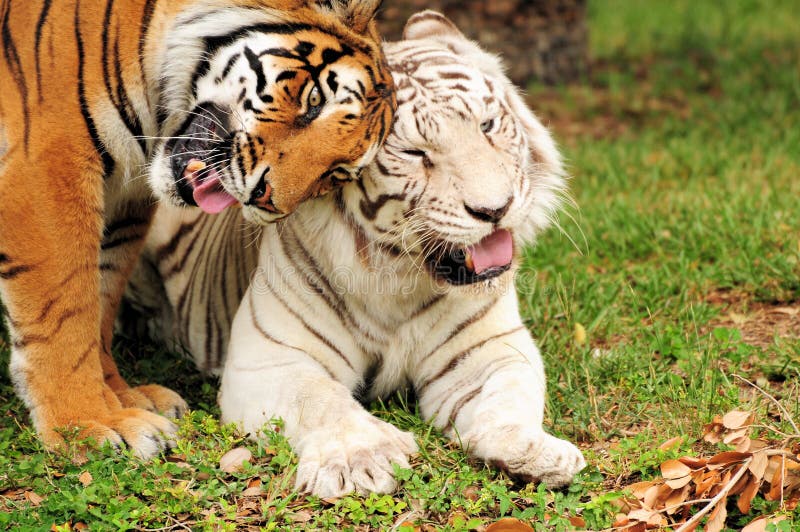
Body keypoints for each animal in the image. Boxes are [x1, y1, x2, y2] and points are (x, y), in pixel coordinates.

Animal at [0, 0, 394, 459]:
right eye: (314, 101)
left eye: (336, 173)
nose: (267, 199)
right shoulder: (48, 166)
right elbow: (65, 312)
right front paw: (88, 421)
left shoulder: (123, 208)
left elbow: (98, 302)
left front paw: (124, 401)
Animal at [128, 10, 586, 495]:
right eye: (414, 153)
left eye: (487, 126)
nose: (494, 210)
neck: (396, 278)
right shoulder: (269, 358)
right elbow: (319, 399)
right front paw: (364, 457)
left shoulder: (489, 348)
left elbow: (508, 397)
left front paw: (535, 451)